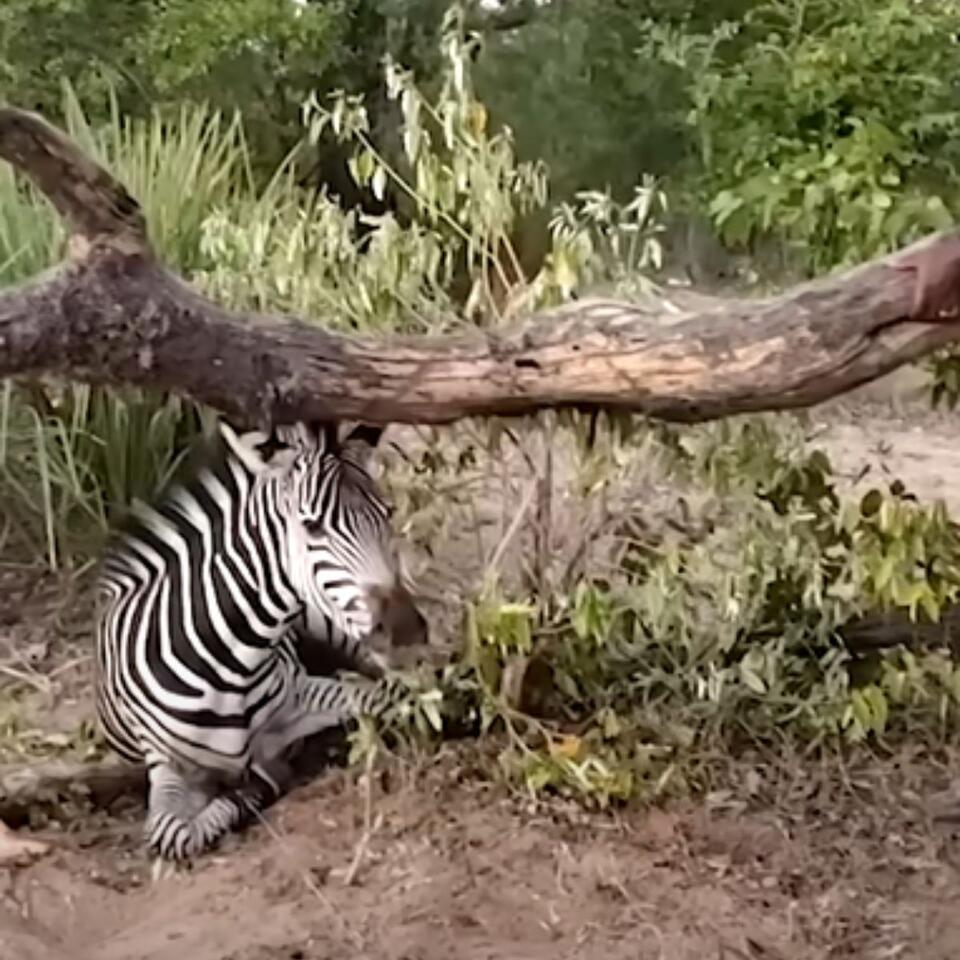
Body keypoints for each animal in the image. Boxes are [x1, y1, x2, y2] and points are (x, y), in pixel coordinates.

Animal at [94, 418, 429, 862]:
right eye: (312, 526)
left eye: (387, 514)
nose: (406, 630)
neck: (227, 663)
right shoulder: (167, 761)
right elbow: (173, 833)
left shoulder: (302, 695)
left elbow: (384, 697)